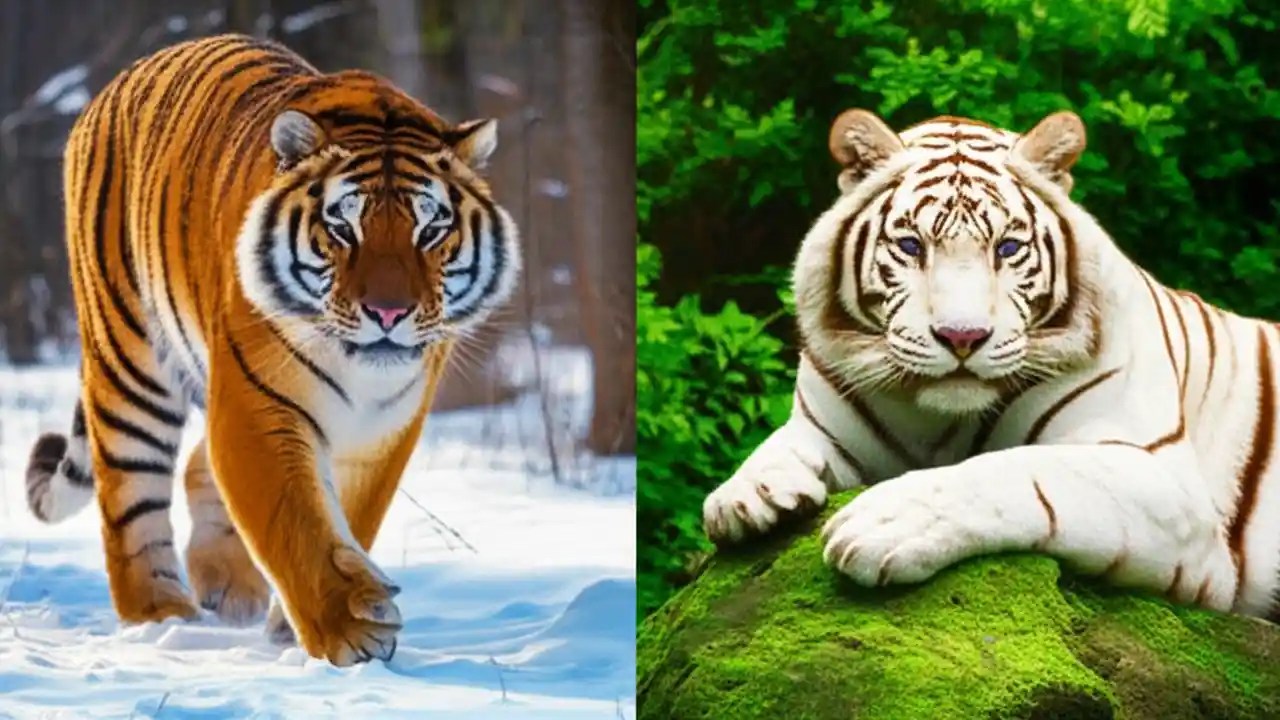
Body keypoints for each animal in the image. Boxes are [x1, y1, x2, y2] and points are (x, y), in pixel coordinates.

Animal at [22, 33, 521, 665]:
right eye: (343, 229)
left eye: (431, 231)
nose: (388, 314)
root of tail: (116, 85)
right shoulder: (258, 402)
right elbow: (294, 520)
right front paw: (348, 627)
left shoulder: (383, 426)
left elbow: (348, 514)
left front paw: (298, 624)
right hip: (130, 363)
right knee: (131, 498)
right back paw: (161, 615)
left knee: (197, 467)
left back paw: (227, 589)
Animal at [703, 107, 1280, 621]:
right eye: (911, 246)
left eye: (1008, 247)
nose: (963, 336)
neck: (934, 420)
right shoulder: (830, 426)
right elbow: (783, 442)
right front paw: (744, 496)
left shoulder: (1166, 482)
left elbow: (1023, 469)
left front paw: (883, 523)